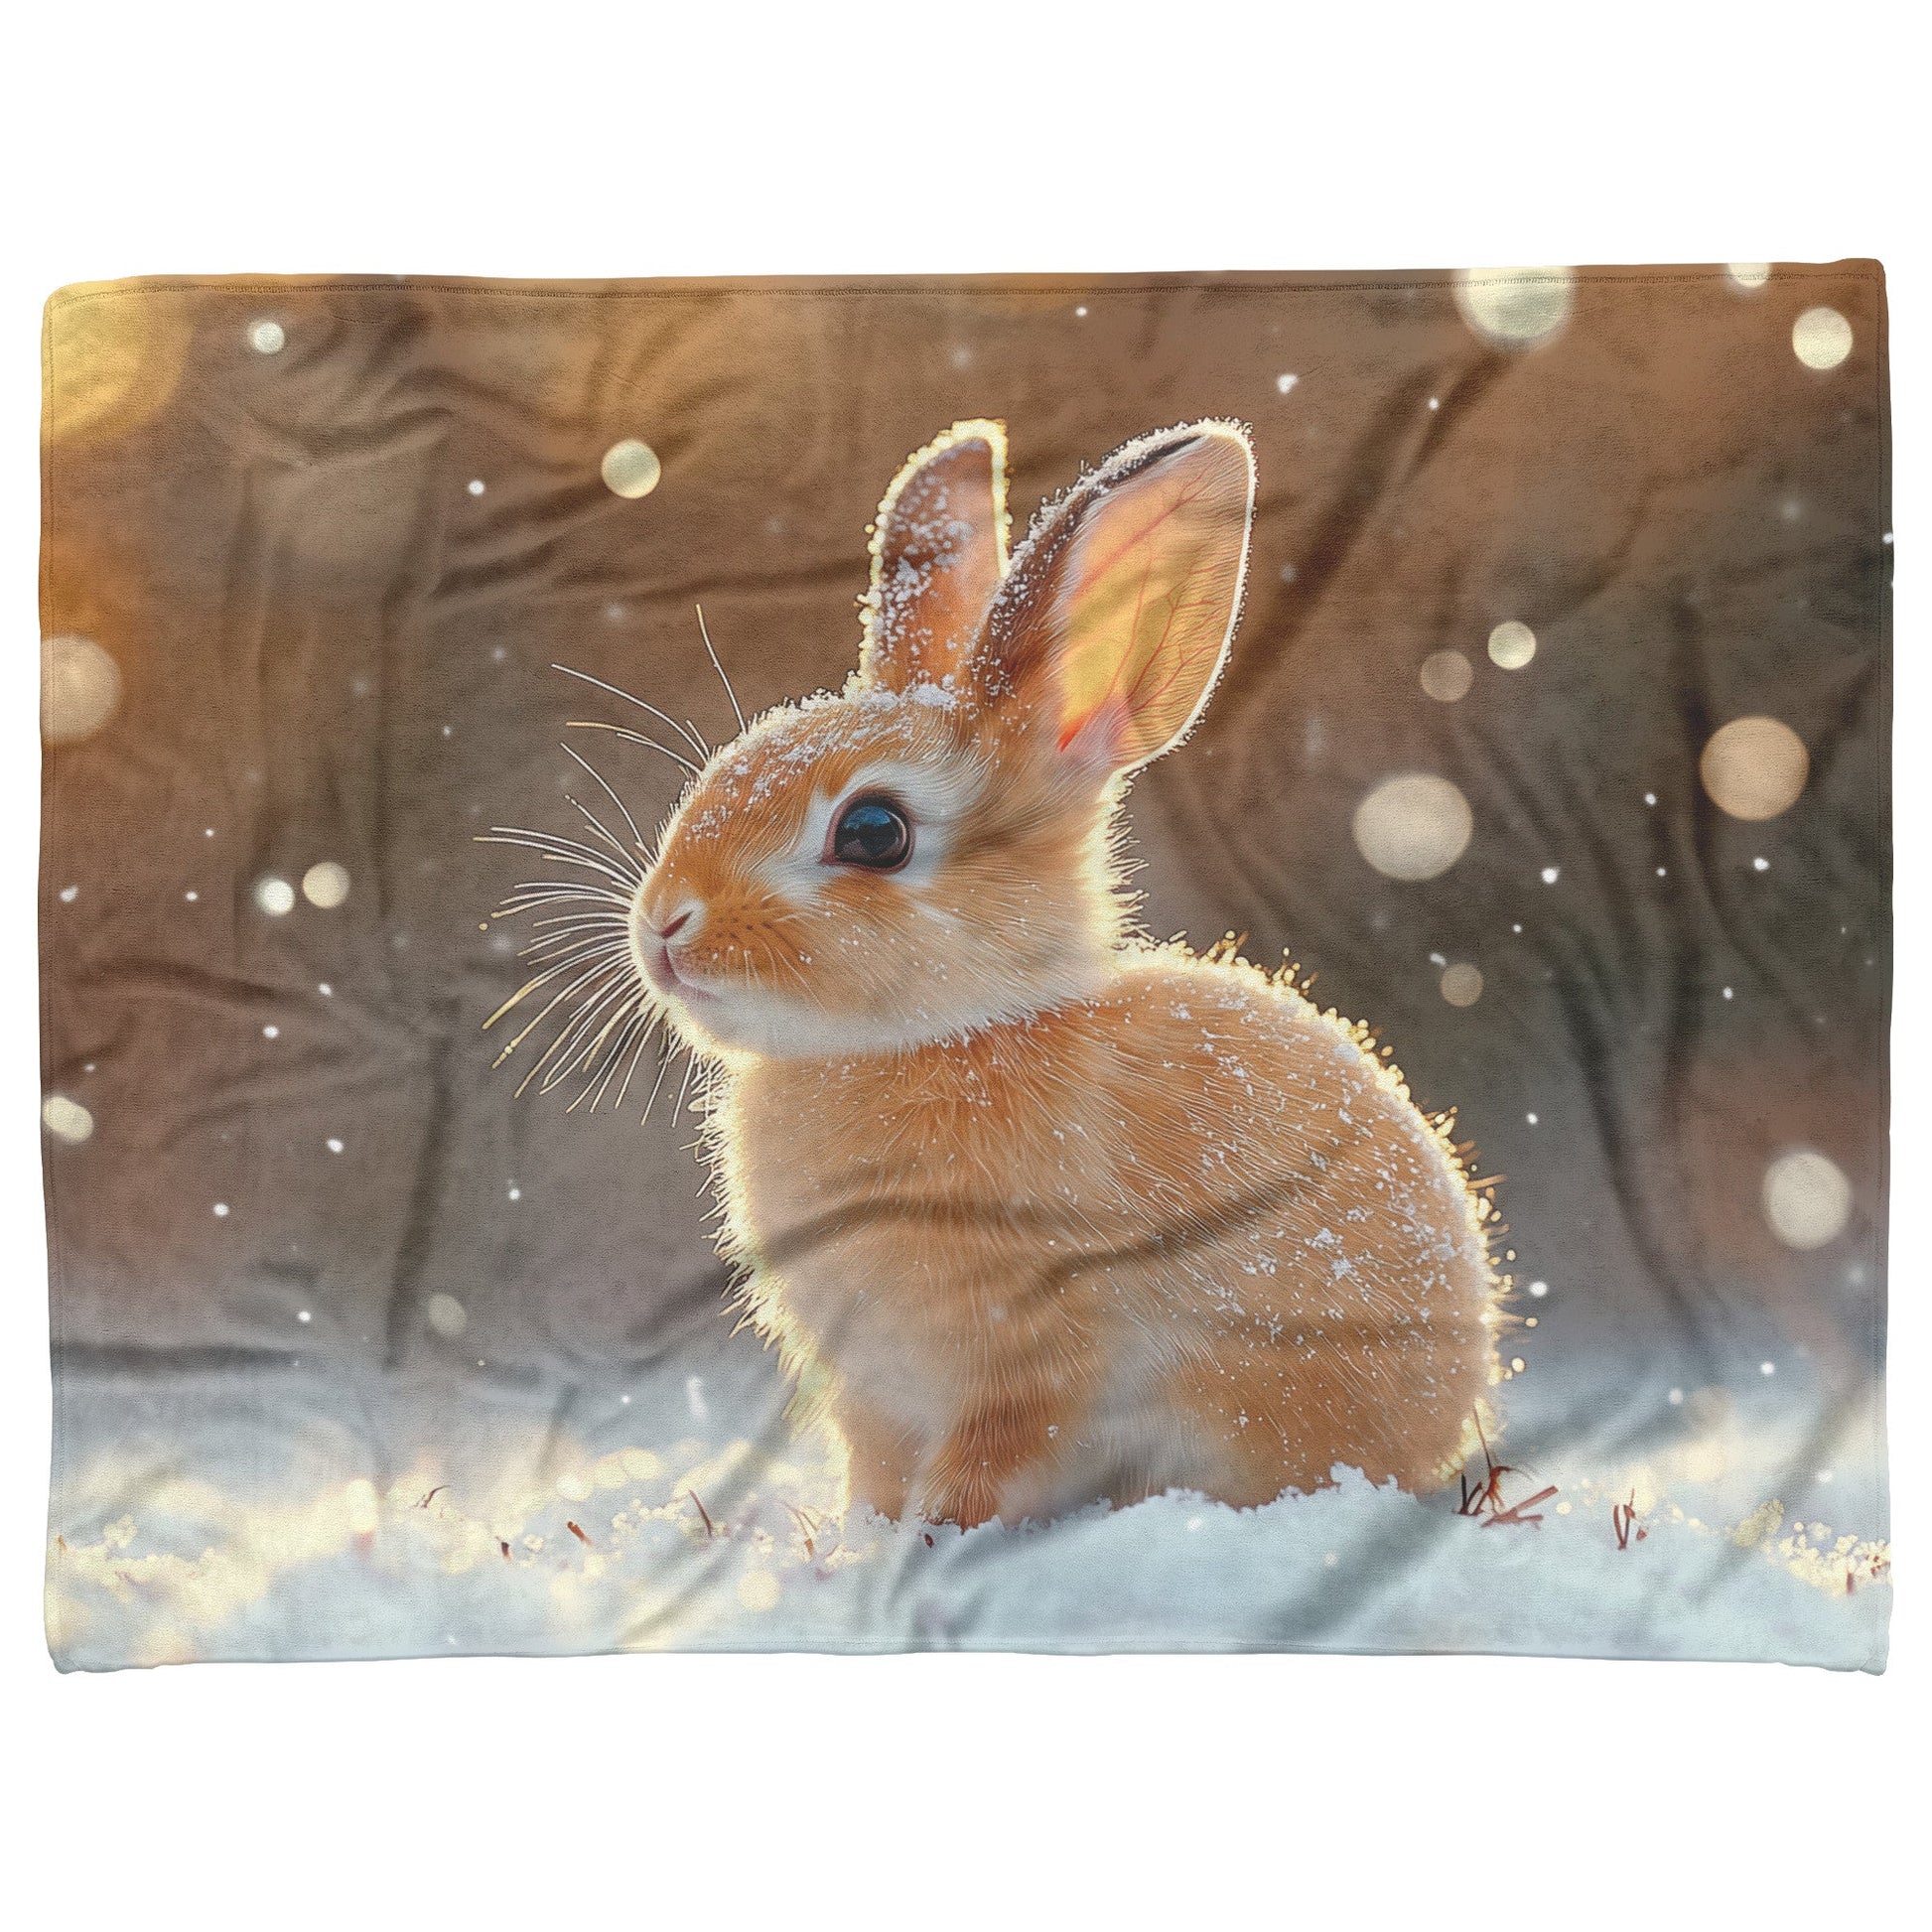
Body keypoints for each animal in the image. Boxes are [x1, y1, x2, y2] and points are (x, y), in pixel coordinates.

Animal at [594, 418, 1504, 1527]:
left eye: (873, 832)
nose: (663, 928)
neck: (947, 1031)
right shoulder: (873, 1393)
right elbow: (879, 1473)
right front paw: (858, 1544)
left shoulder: (1037, 1361)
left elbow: (994, 1464)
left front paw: (930, 1542)